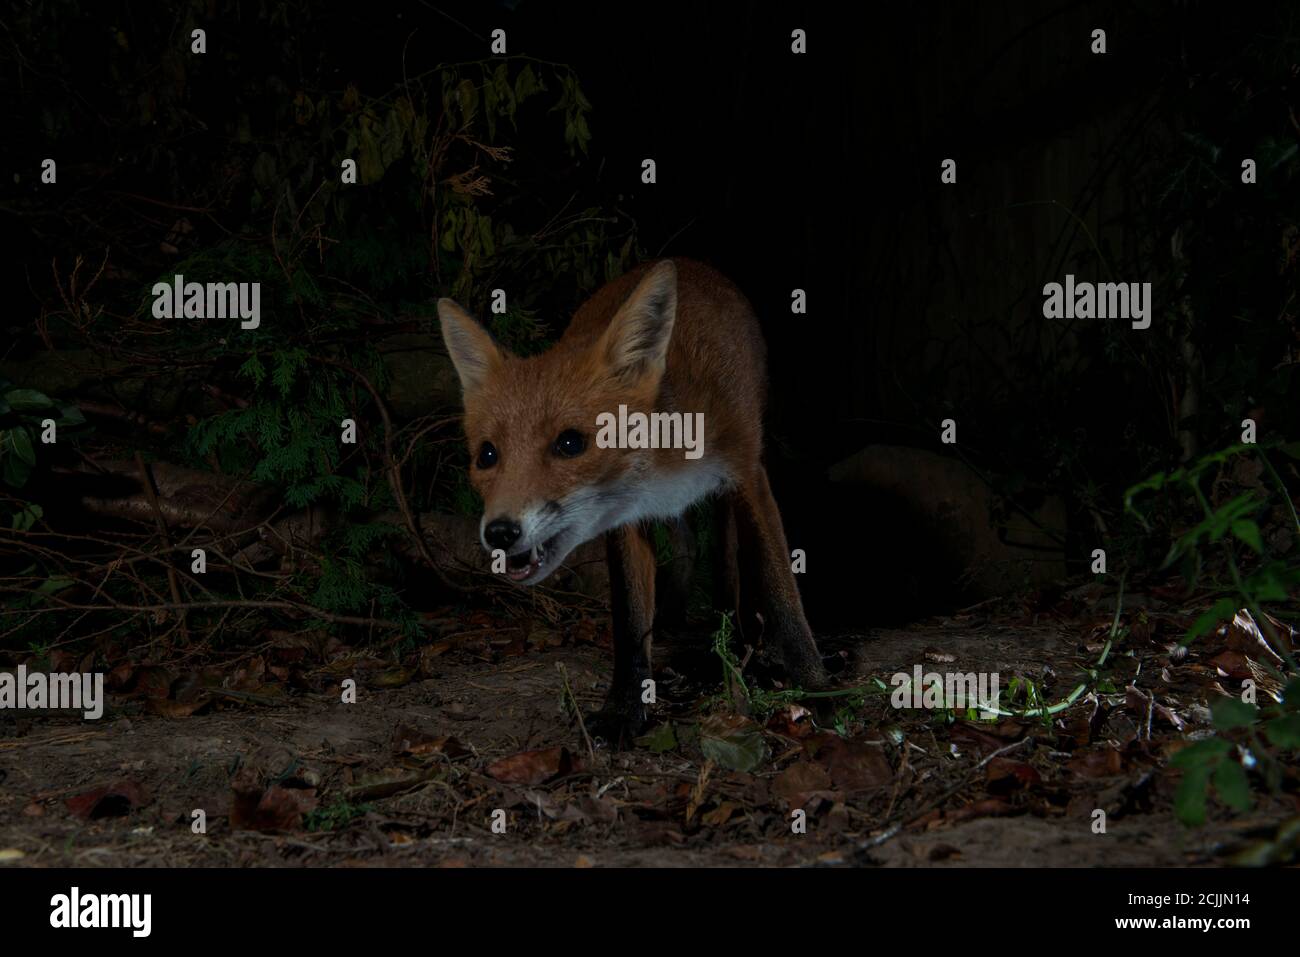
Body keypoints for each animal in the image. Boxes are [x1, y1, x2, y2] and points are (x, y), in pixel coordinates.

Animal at [436, 257, 821, 743]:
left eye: (570, 443)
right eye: (487, 456)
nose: (500, 532)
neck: (668, 457)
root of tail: (692, 264)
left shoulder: (747, 474)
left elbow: (779, 586)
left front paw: (815, 686)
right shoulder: (626, 516)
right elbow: (631, 617)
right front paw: (625, 707)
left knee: (727, 560)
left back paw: (729, 637)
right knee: (687, 546)